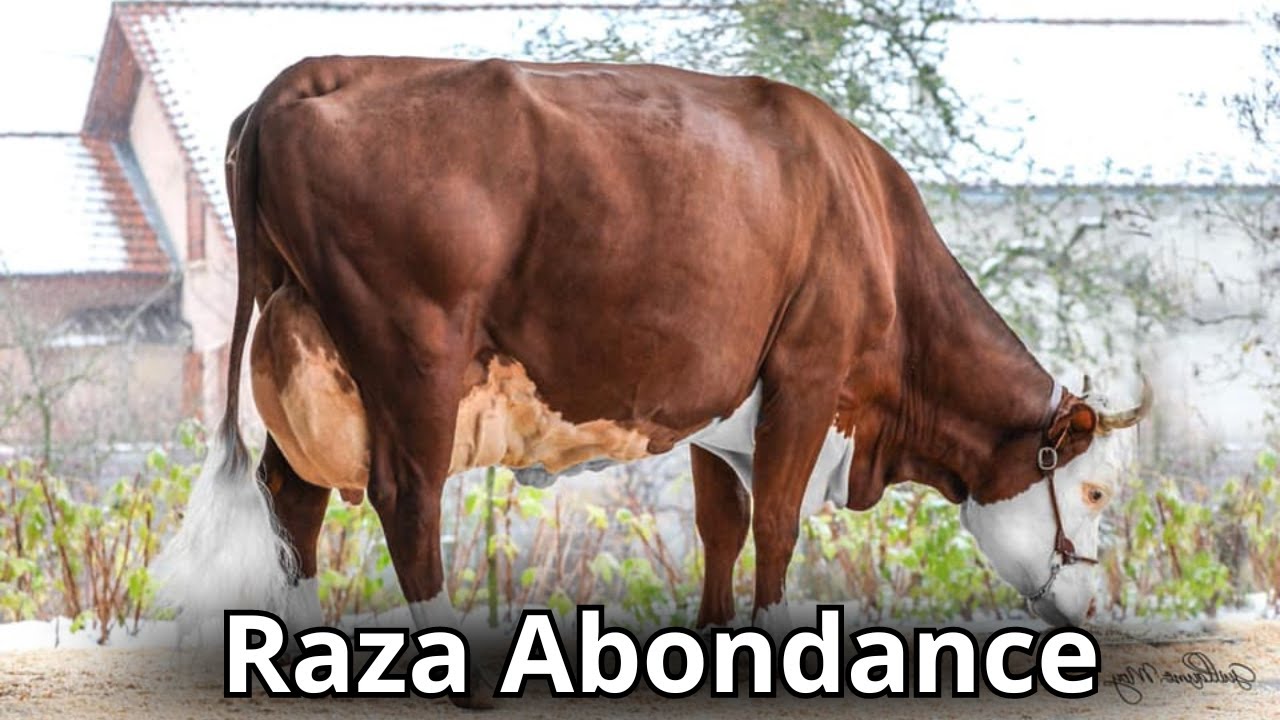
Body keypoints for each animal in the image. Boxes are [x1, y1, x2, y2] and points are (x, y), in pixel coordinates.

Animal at [156, 57, 1149, 703]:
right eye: (1096, 490)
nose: (1094, 606)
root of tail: (310, 73)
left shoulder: (723, 415)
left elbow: (721, 528)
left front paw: (715, 647)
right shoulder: (807, 374)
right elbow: (777, 527)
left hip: (308, 359)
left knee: (295, 501)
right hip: (412, 357)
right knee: (406, 501)